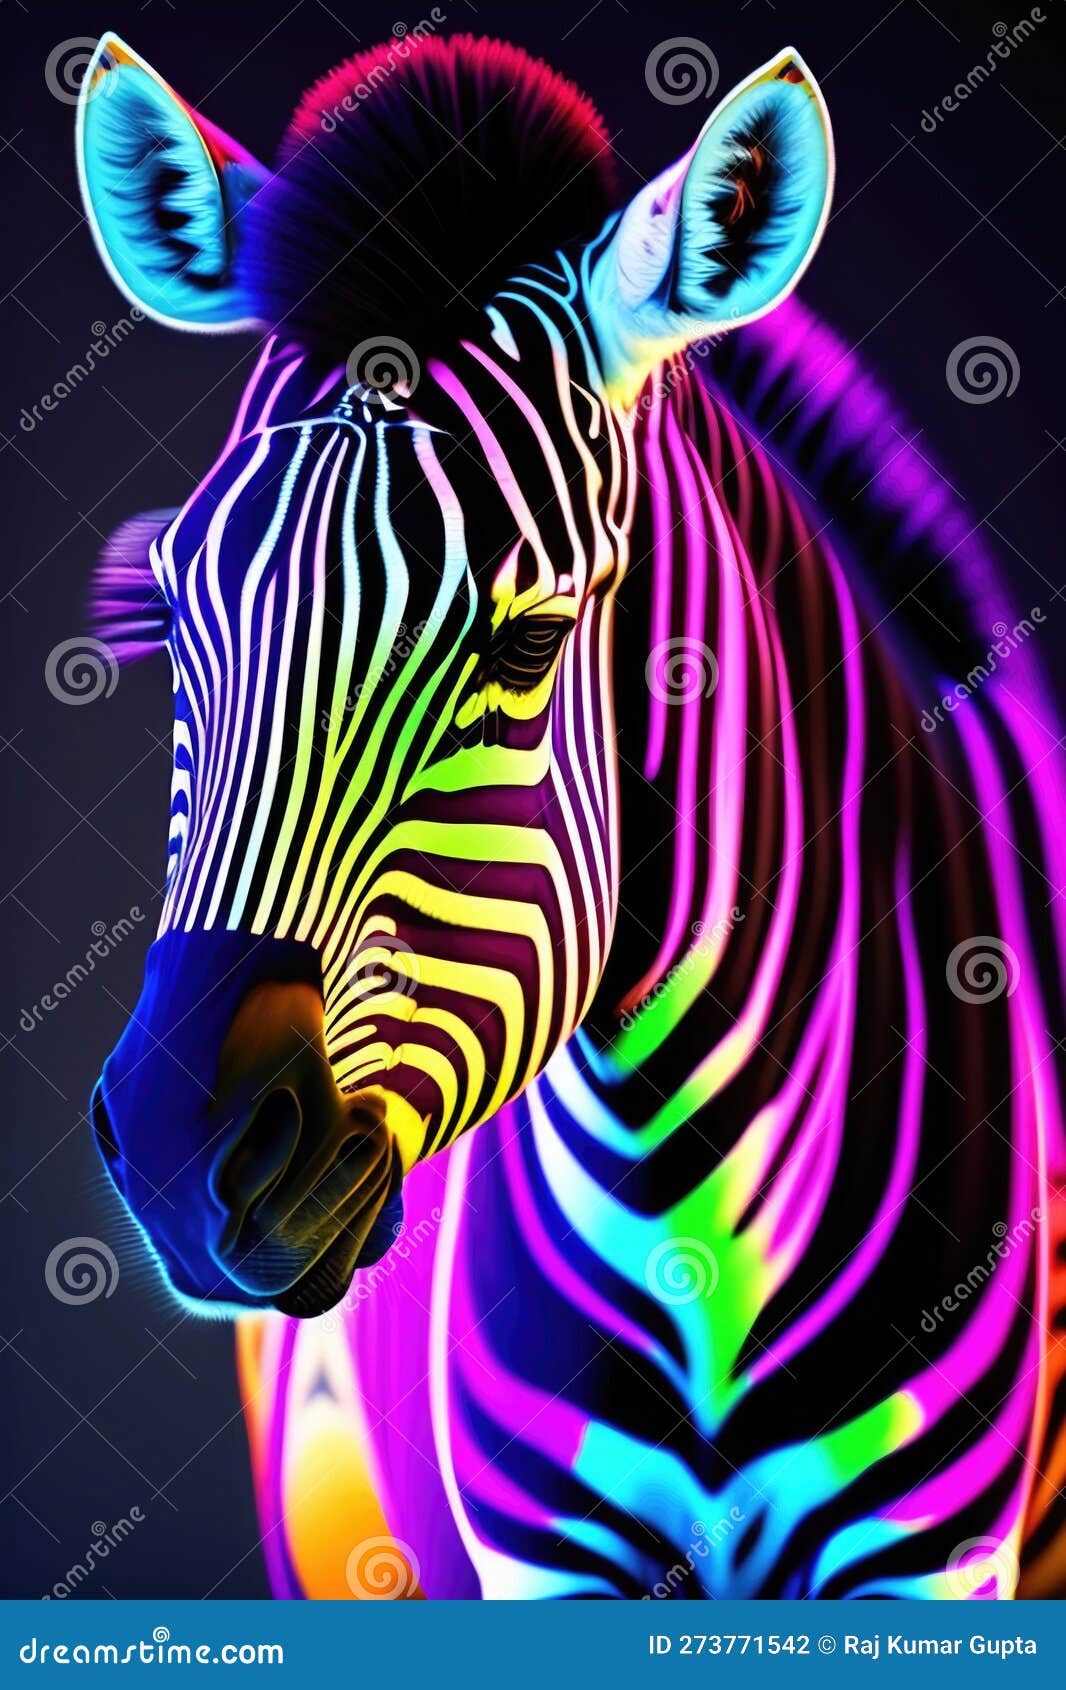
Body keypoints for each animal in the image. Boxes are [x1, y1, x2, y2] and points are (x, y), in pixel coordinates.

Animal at [76, 32, 1065, 1599]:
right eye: (175, 611)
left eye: (531, 643)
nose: (179, 1154)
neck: (698, 1223)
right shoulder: (543, 1565)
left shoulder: (938, 1561)